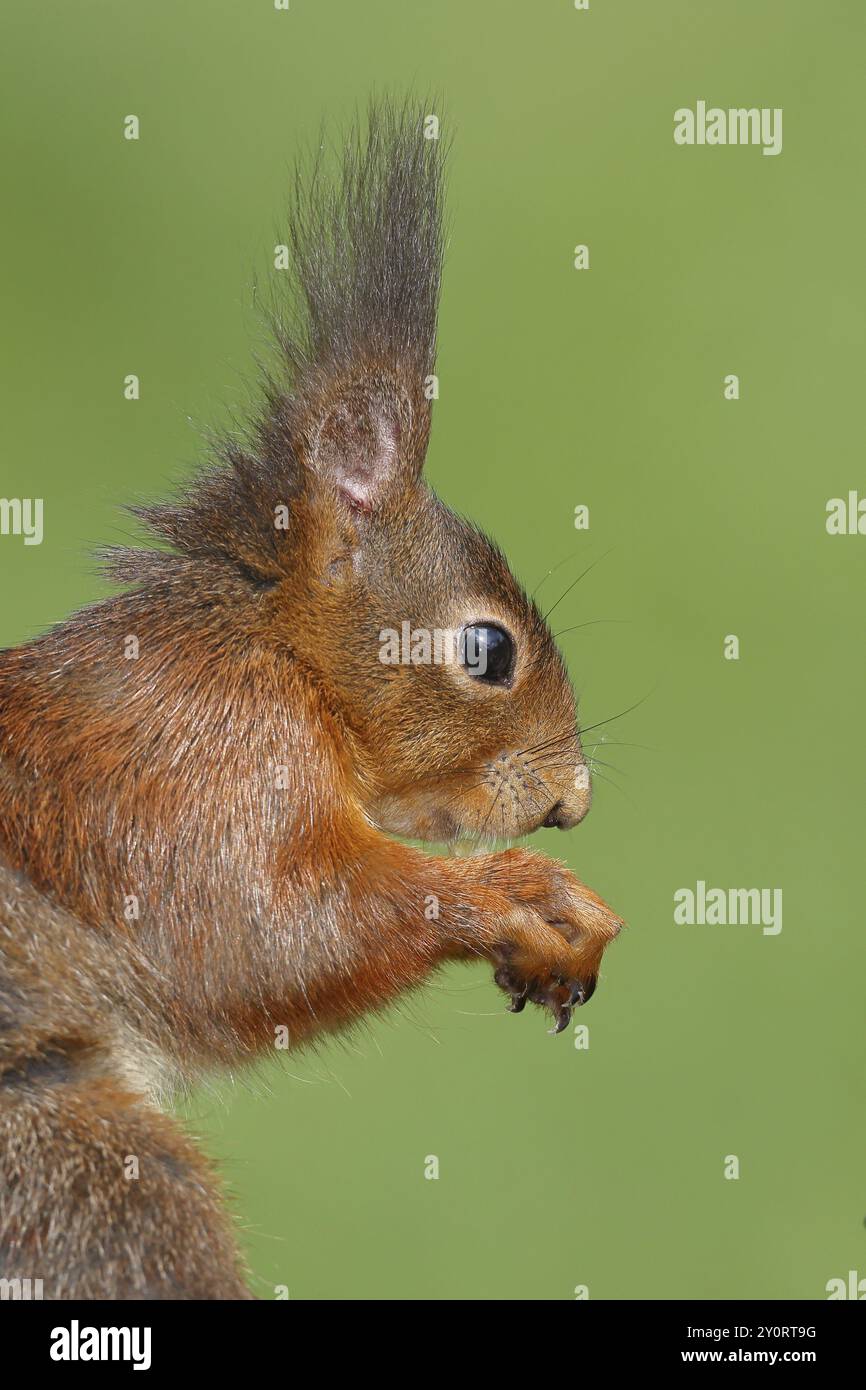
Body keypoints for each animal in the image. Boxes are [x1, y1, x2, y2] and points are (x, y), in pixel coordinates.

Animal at [0, 100, 623, 1300]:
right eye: (488, 650)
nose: (571, 799)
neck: (273, 655)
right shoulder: (185, 770)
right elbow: (260, 935)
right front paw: (516, 892)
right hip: (99, 1192)